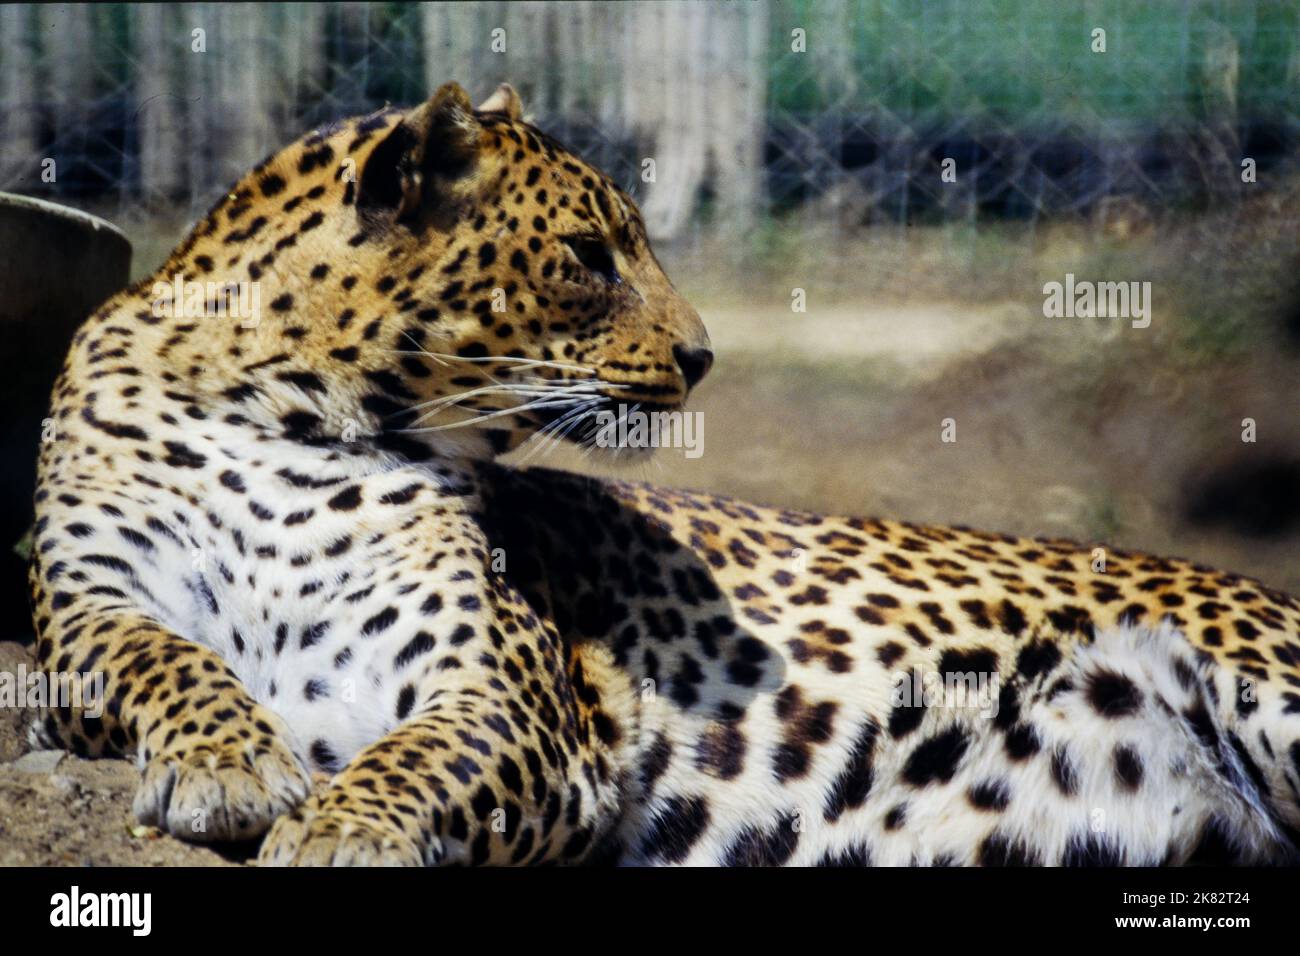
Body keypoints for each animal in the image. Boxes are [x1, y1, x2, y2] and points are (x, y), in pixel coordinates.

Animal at [27, 81, 1300, 866]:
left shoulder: (510, 695)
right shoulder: (86, 608)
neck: (298, 416)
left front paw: (344, 826)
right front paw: (230, 761)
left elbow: (425, 752)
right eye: (589, 258)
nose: (702, 355)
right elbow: (162, 656)